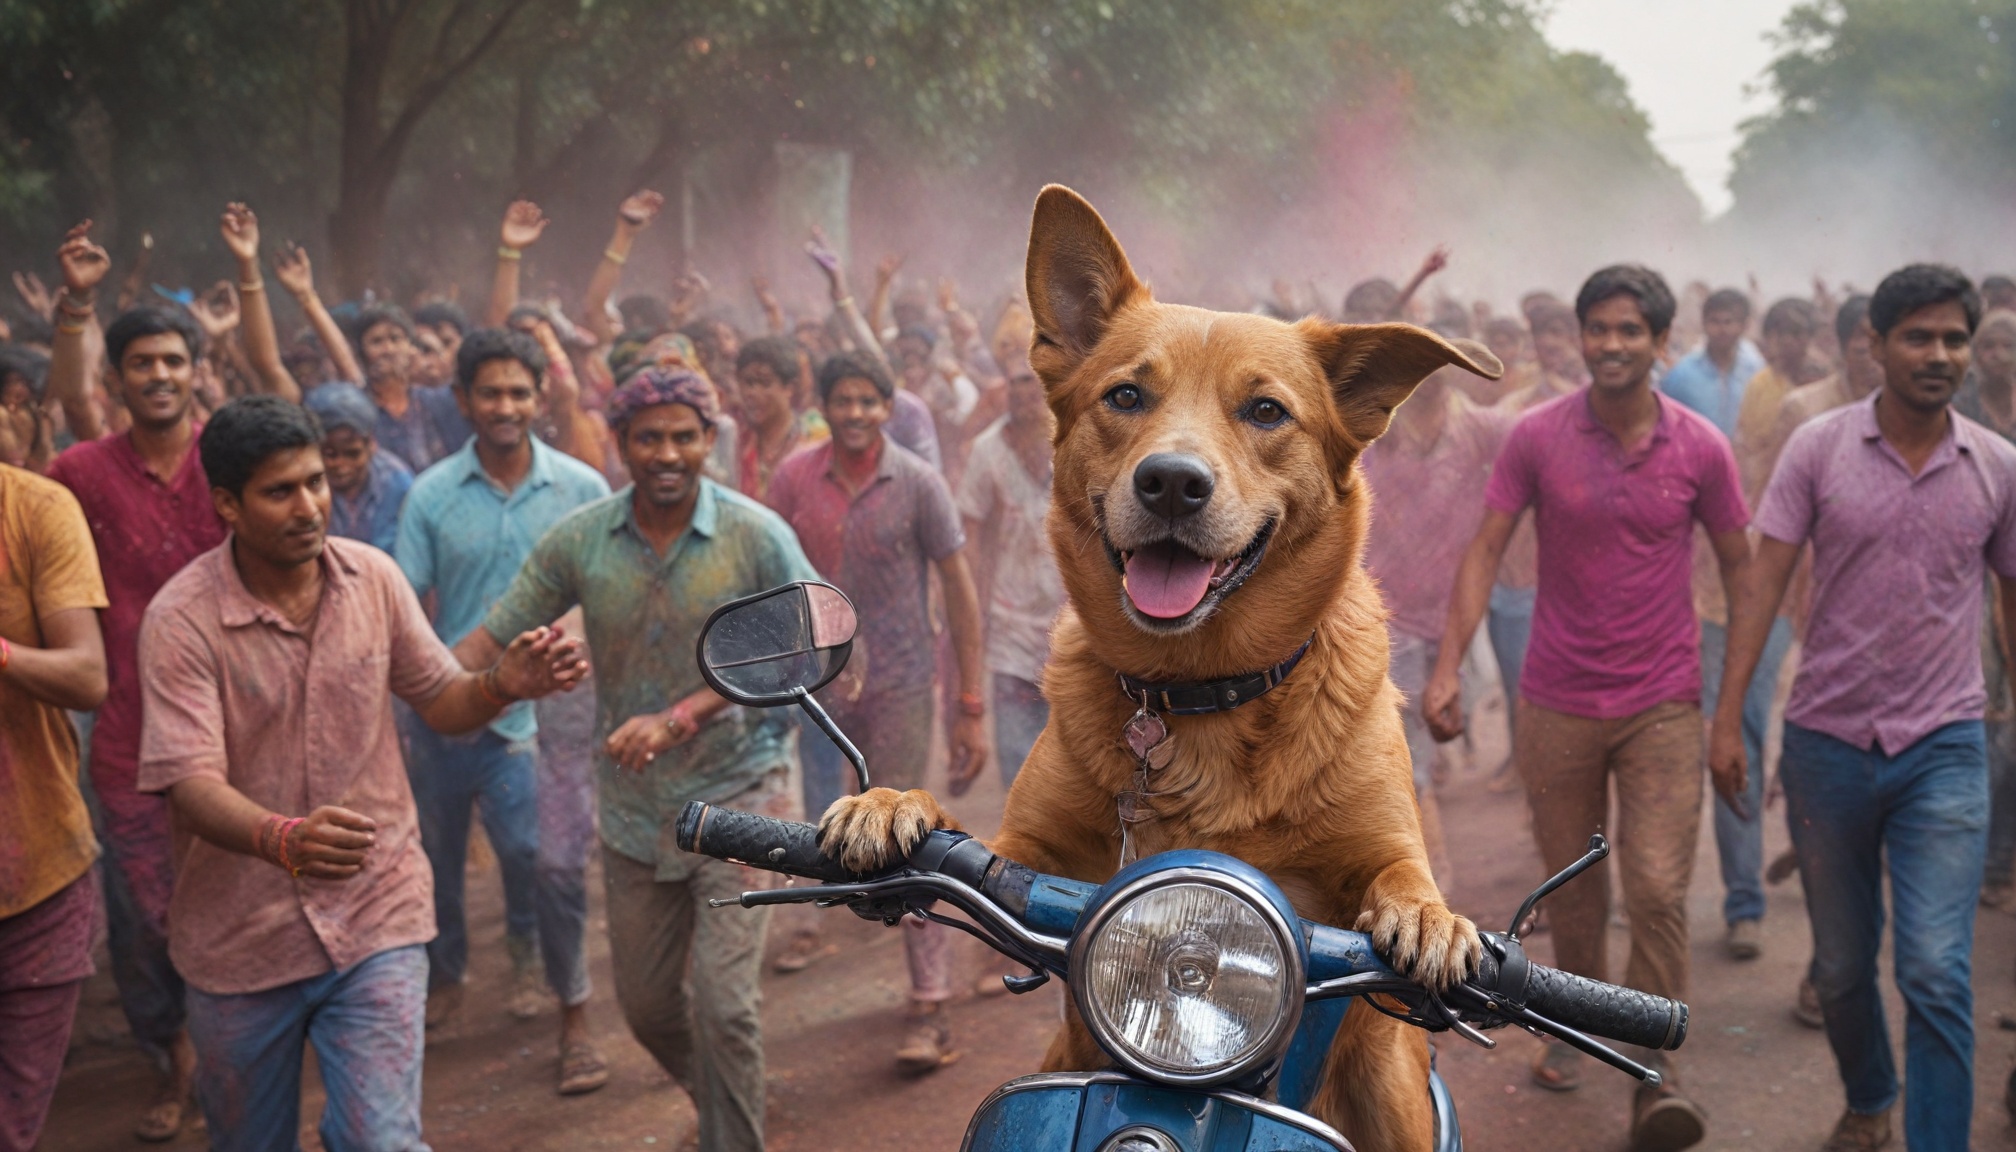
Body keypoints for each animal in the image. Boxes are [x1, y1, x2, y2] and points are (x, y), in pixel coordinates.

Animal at [818, 189, 1499, 1152]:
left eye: (1266, 412)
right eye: (1126, 395)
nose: (1172, 482)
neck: (1199, 693)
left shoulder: (1384, 849)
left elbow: (1403, 877)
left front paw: (1433, 920)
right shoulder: (1028, 853)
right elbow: (974, 845)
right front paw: (890, 804)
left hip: (1388, 1084)